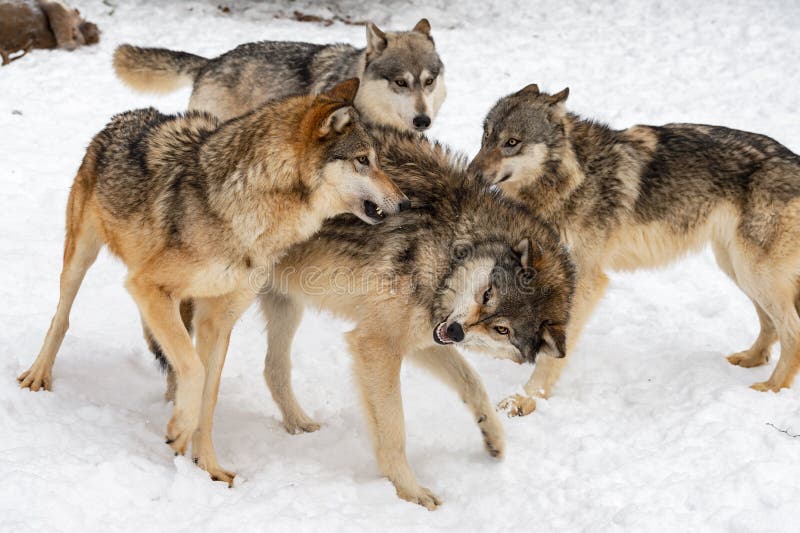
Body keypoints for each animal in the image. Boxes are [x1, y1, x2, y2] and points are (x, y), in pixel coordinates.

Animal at [17, 79, 409, 484]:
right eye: (363, 160)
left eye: (376, 159)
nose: (406, 202)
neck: (249, 207)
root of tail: (124, 116)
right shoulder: (147, 286)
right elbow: (194, 370)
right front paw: (179, 431)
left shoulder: (216, 320)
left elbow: (208, 393)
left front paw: (207, 465)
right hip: (81, 255)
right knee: (61, 316)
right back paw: (38, 375)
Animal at [154, 126, 576, 508]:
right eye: (487, 294)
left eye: (502, 329)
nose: (457, 331)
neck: (453, 245)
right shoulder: (378, 345)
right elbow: (394, 432)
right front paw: (409, 492)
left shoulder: (424, 338)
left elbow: (474, 384)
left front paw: (494, 439)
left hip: (286, 305)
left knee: (272, 369)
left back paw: (296, 423)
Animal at [469, 83, 800, 416]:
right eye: (486, 138)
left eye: (512, 142)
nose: (470, 174)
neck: (571, 178)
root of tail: (794, 160)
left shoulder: (587, 280)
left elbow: (554, 352)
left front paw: (526, 399)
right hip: (737, 268)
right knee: (770, 324)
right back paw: (752, 359)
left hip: (754, 272)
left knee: (792, 330)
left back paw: (772, 388)